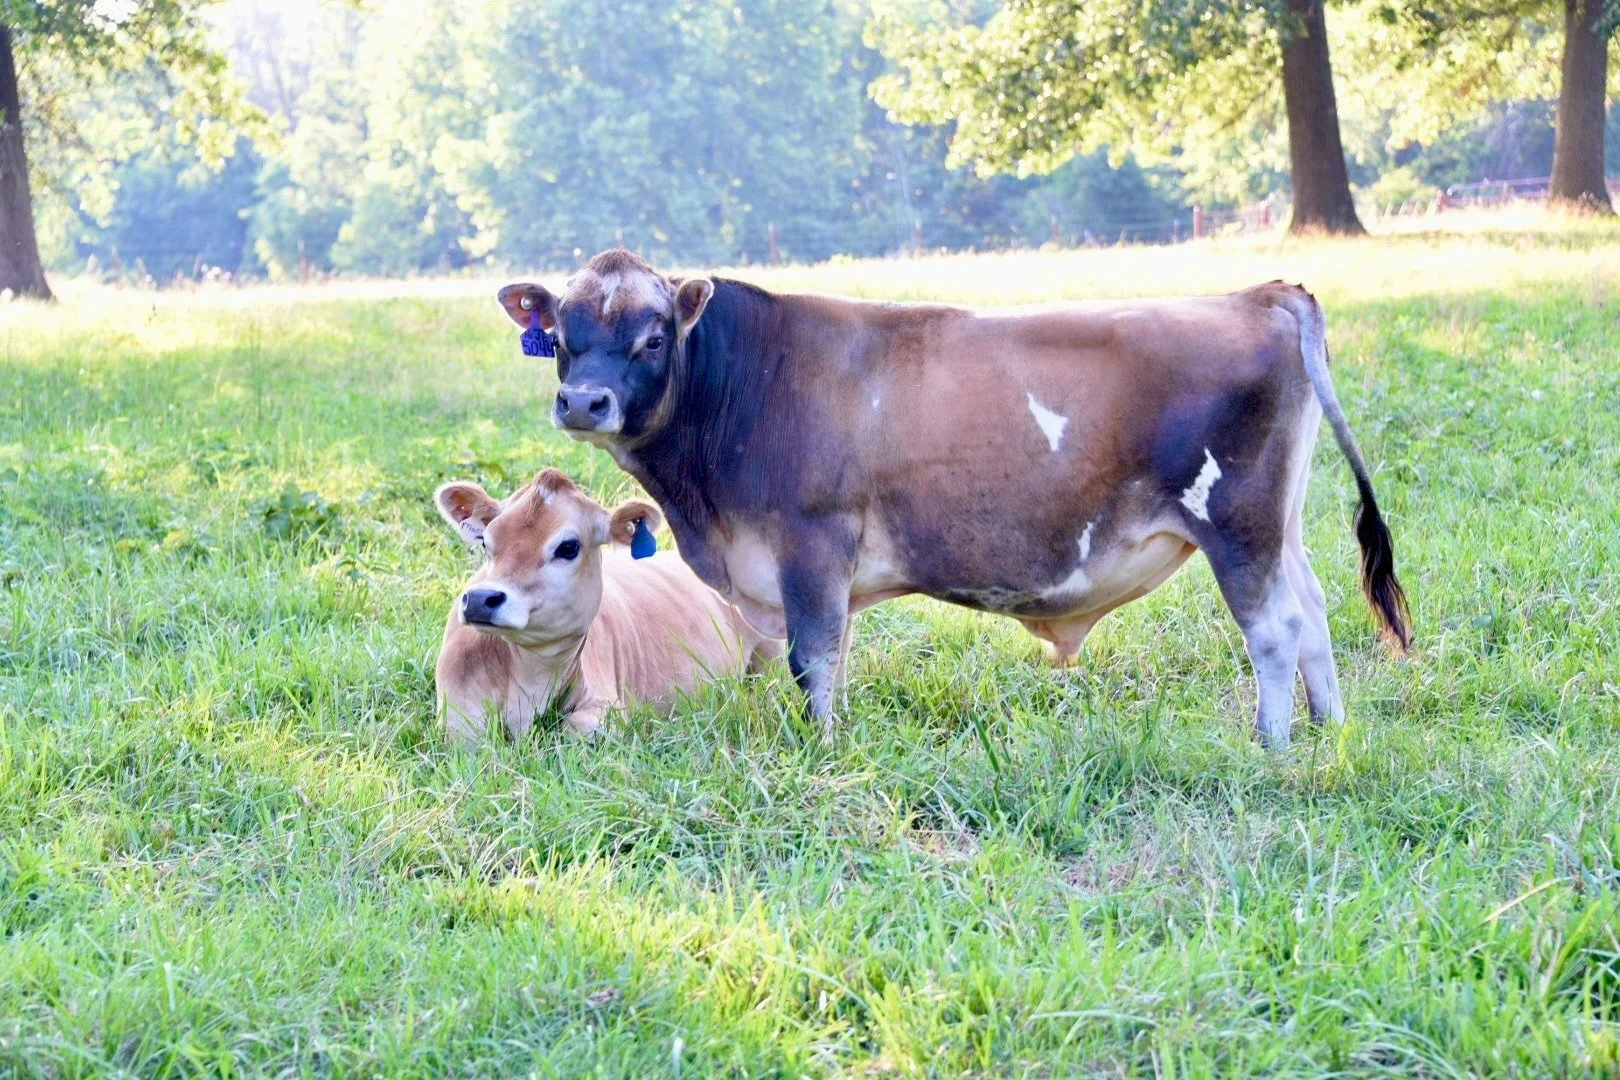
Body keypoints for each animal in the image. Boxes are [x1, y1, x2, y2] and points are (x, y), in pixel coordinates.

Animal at [434, 467, 779, 740]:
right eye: (485, 542)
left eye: (569, 547)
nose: (481, 599)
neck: (531, 676)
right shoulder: (457, 716)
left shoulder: (606, 709)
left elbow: (572, 730)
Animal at [496, 250, 1410, 749]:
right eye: (563, 337)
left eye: (653, 338)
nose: (583, 402)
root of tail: (1260, 294)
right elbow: (829, 659)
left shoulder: (812, 542)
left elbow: (813, 658)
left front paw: (823, 749)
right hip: (1279, 526)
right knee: (1315, 611)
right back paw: (1329, 732)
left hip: (1237, 523)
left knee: (1275, 628)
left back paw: (1271, 744)